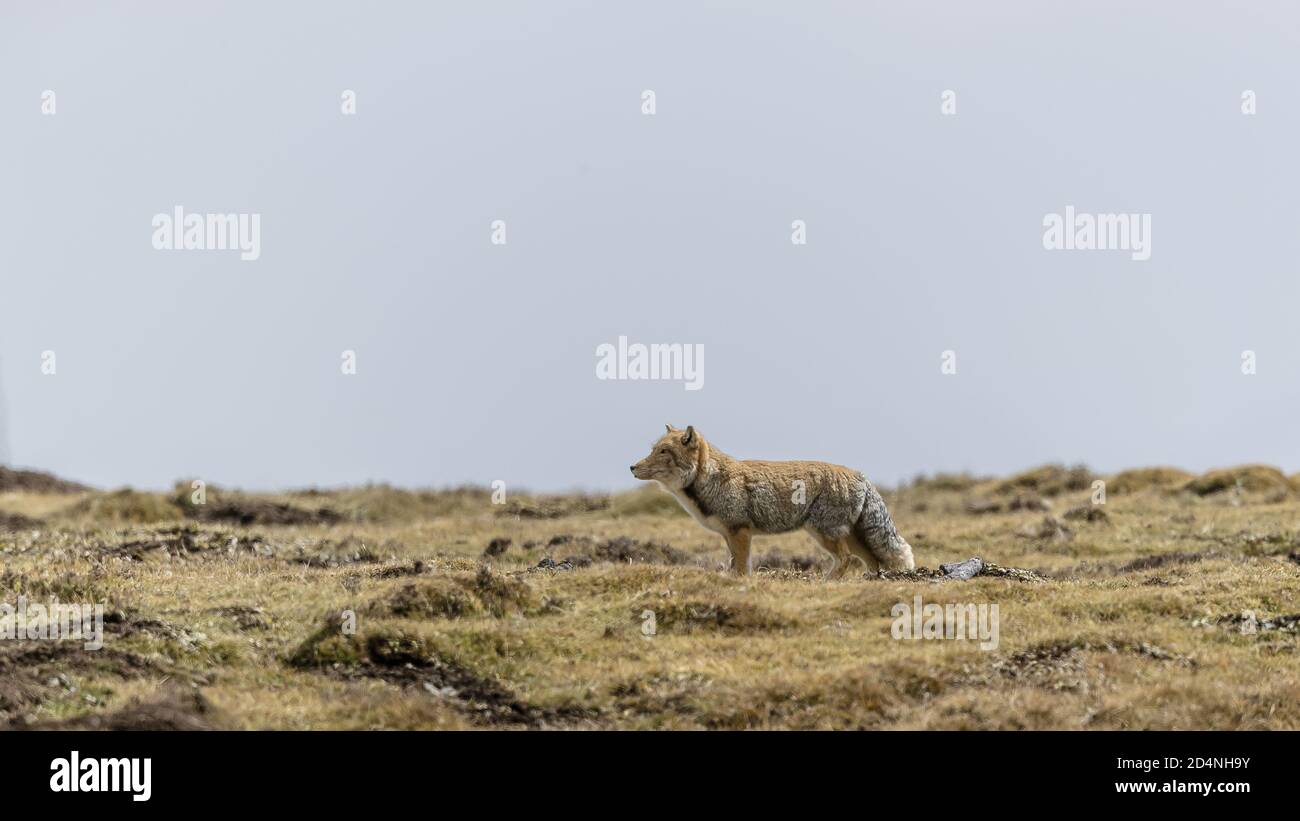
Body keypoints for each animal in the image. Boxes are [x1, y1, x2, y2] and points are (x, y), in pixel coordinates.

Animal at [630, 425, 915, 578]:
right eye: (653, 449)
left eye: (663, 452)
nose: (632, 467)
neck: (709, 479)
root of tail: (860, 474)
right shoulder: (728, 535)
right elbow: (735, 565)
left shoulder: (741, 532)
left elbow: (742, 568)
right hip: (852, 537)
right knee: (873, 561)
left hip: (825, 534)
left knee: (846, 559)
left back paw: (826, 582)